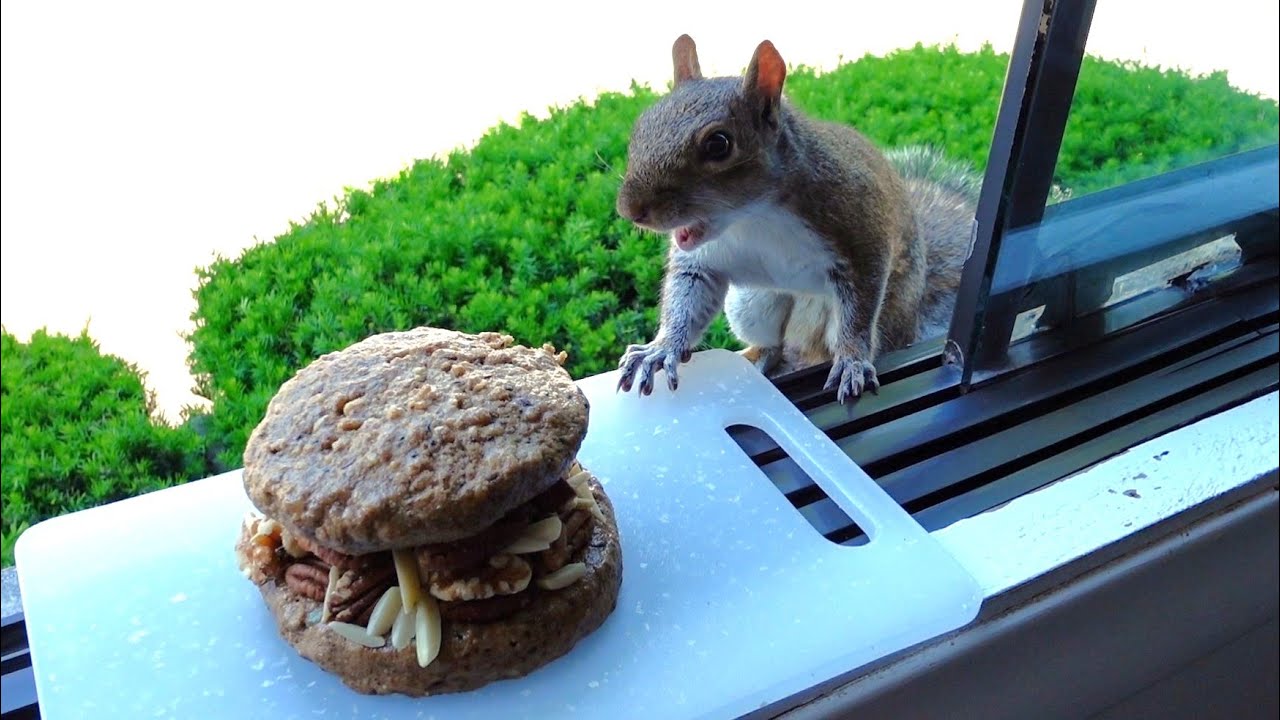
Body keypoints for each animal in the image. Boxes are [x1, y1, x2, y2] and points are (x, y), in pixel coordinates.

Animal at [614, 35, 978, 403]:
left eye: (719, 144)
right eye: (641, 125)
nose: (629, 209)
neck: (753, 217)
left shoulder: (860, 232)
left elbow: (860, 311)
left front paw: (852, 362)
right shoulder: (704, 261)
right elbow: (688, 296)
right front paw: (661, 349)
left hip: (865, 318)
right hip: (750, 304)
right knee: (774, 346)